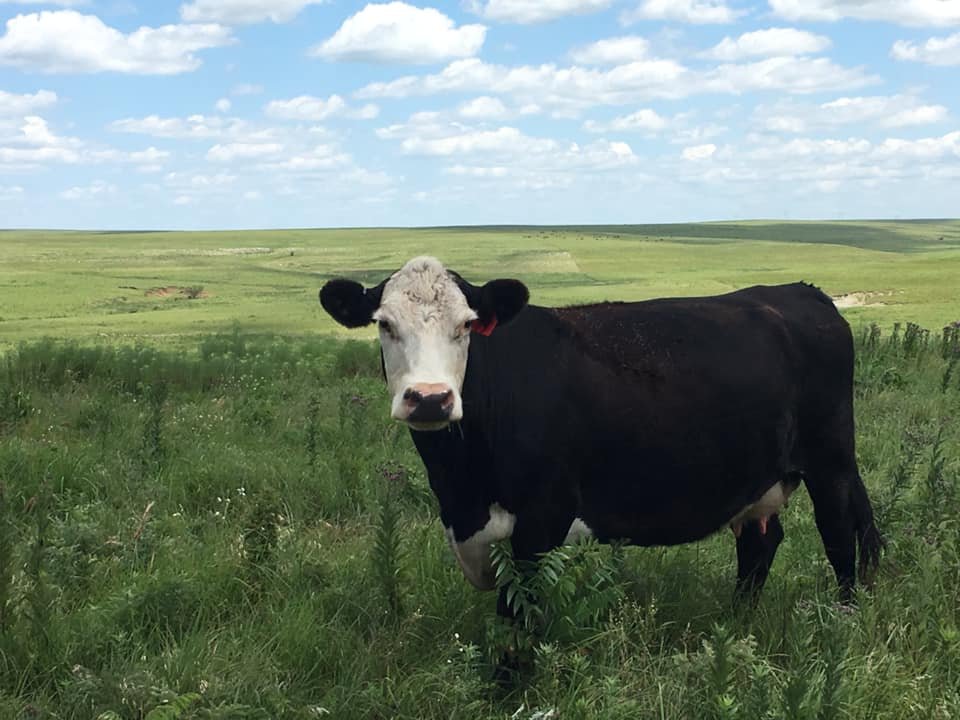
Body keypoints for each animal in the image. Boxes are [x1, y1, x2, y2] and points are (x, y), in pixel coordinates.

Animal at [319, 256, 882, 619]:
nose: (431, 398)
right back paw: (736, 622)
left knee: (839, 536)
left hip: (830, 460)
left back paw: (843, 622)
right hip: (758, 472)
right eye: (384, 325)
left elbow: (518, 621)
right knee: (760, 543)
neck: (462, 490)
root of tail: (800, 291)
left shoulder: (542, 520)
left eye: (466, 325)